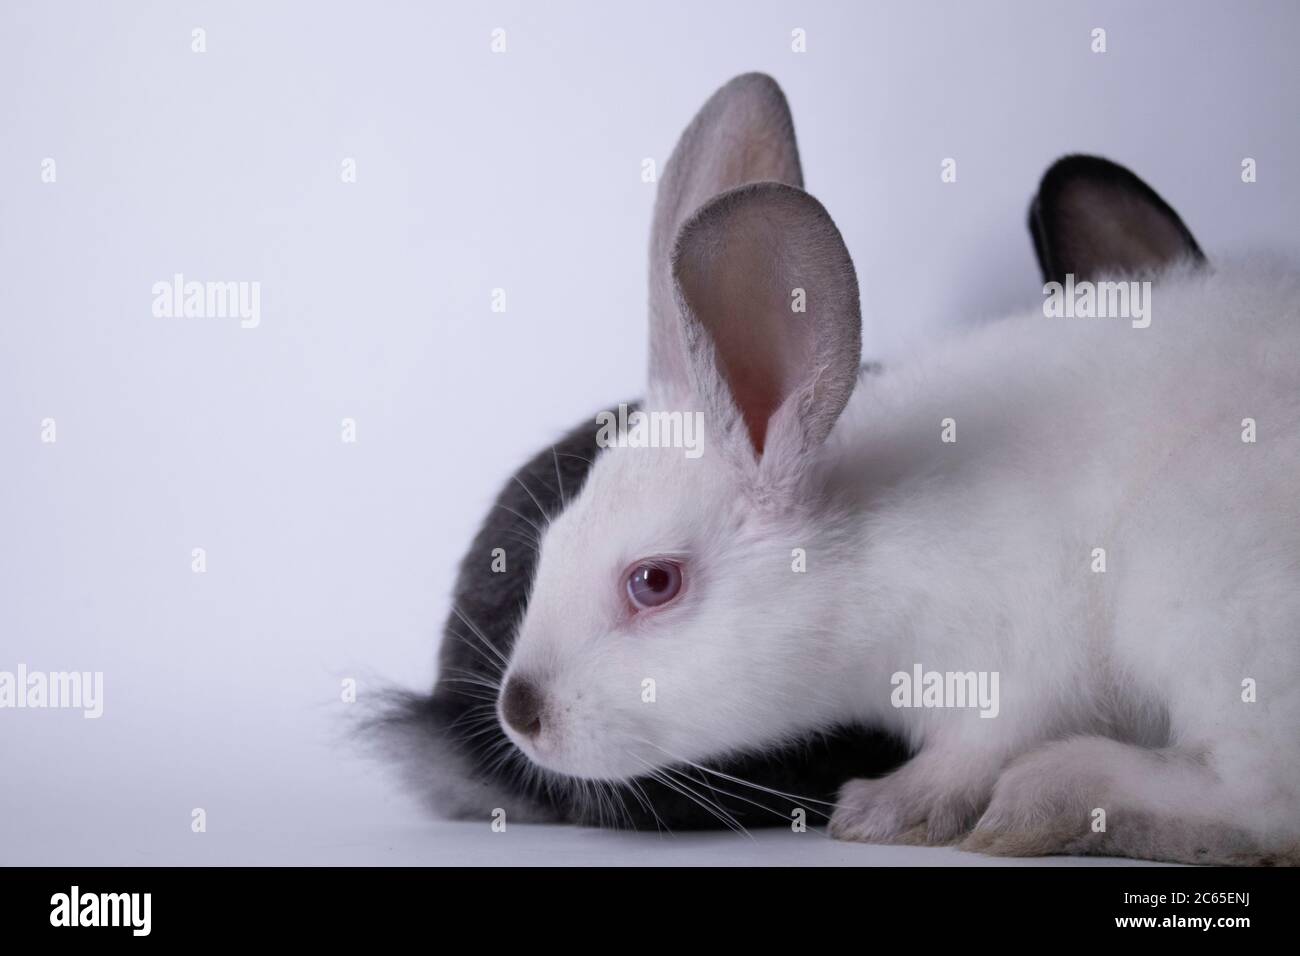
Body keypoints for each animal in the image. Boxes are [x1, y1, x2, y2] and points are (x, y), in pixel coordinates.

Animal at [489, 72, 1300, 865]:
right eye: (549, 542)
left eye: (654, 582)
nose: (520, 714)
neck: (872, 540)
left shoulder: (1011, 667)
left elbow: (973, 751)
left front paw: (889, 810)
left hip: (1197, 601)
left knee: (1259, 801)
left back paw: (1048, 797)